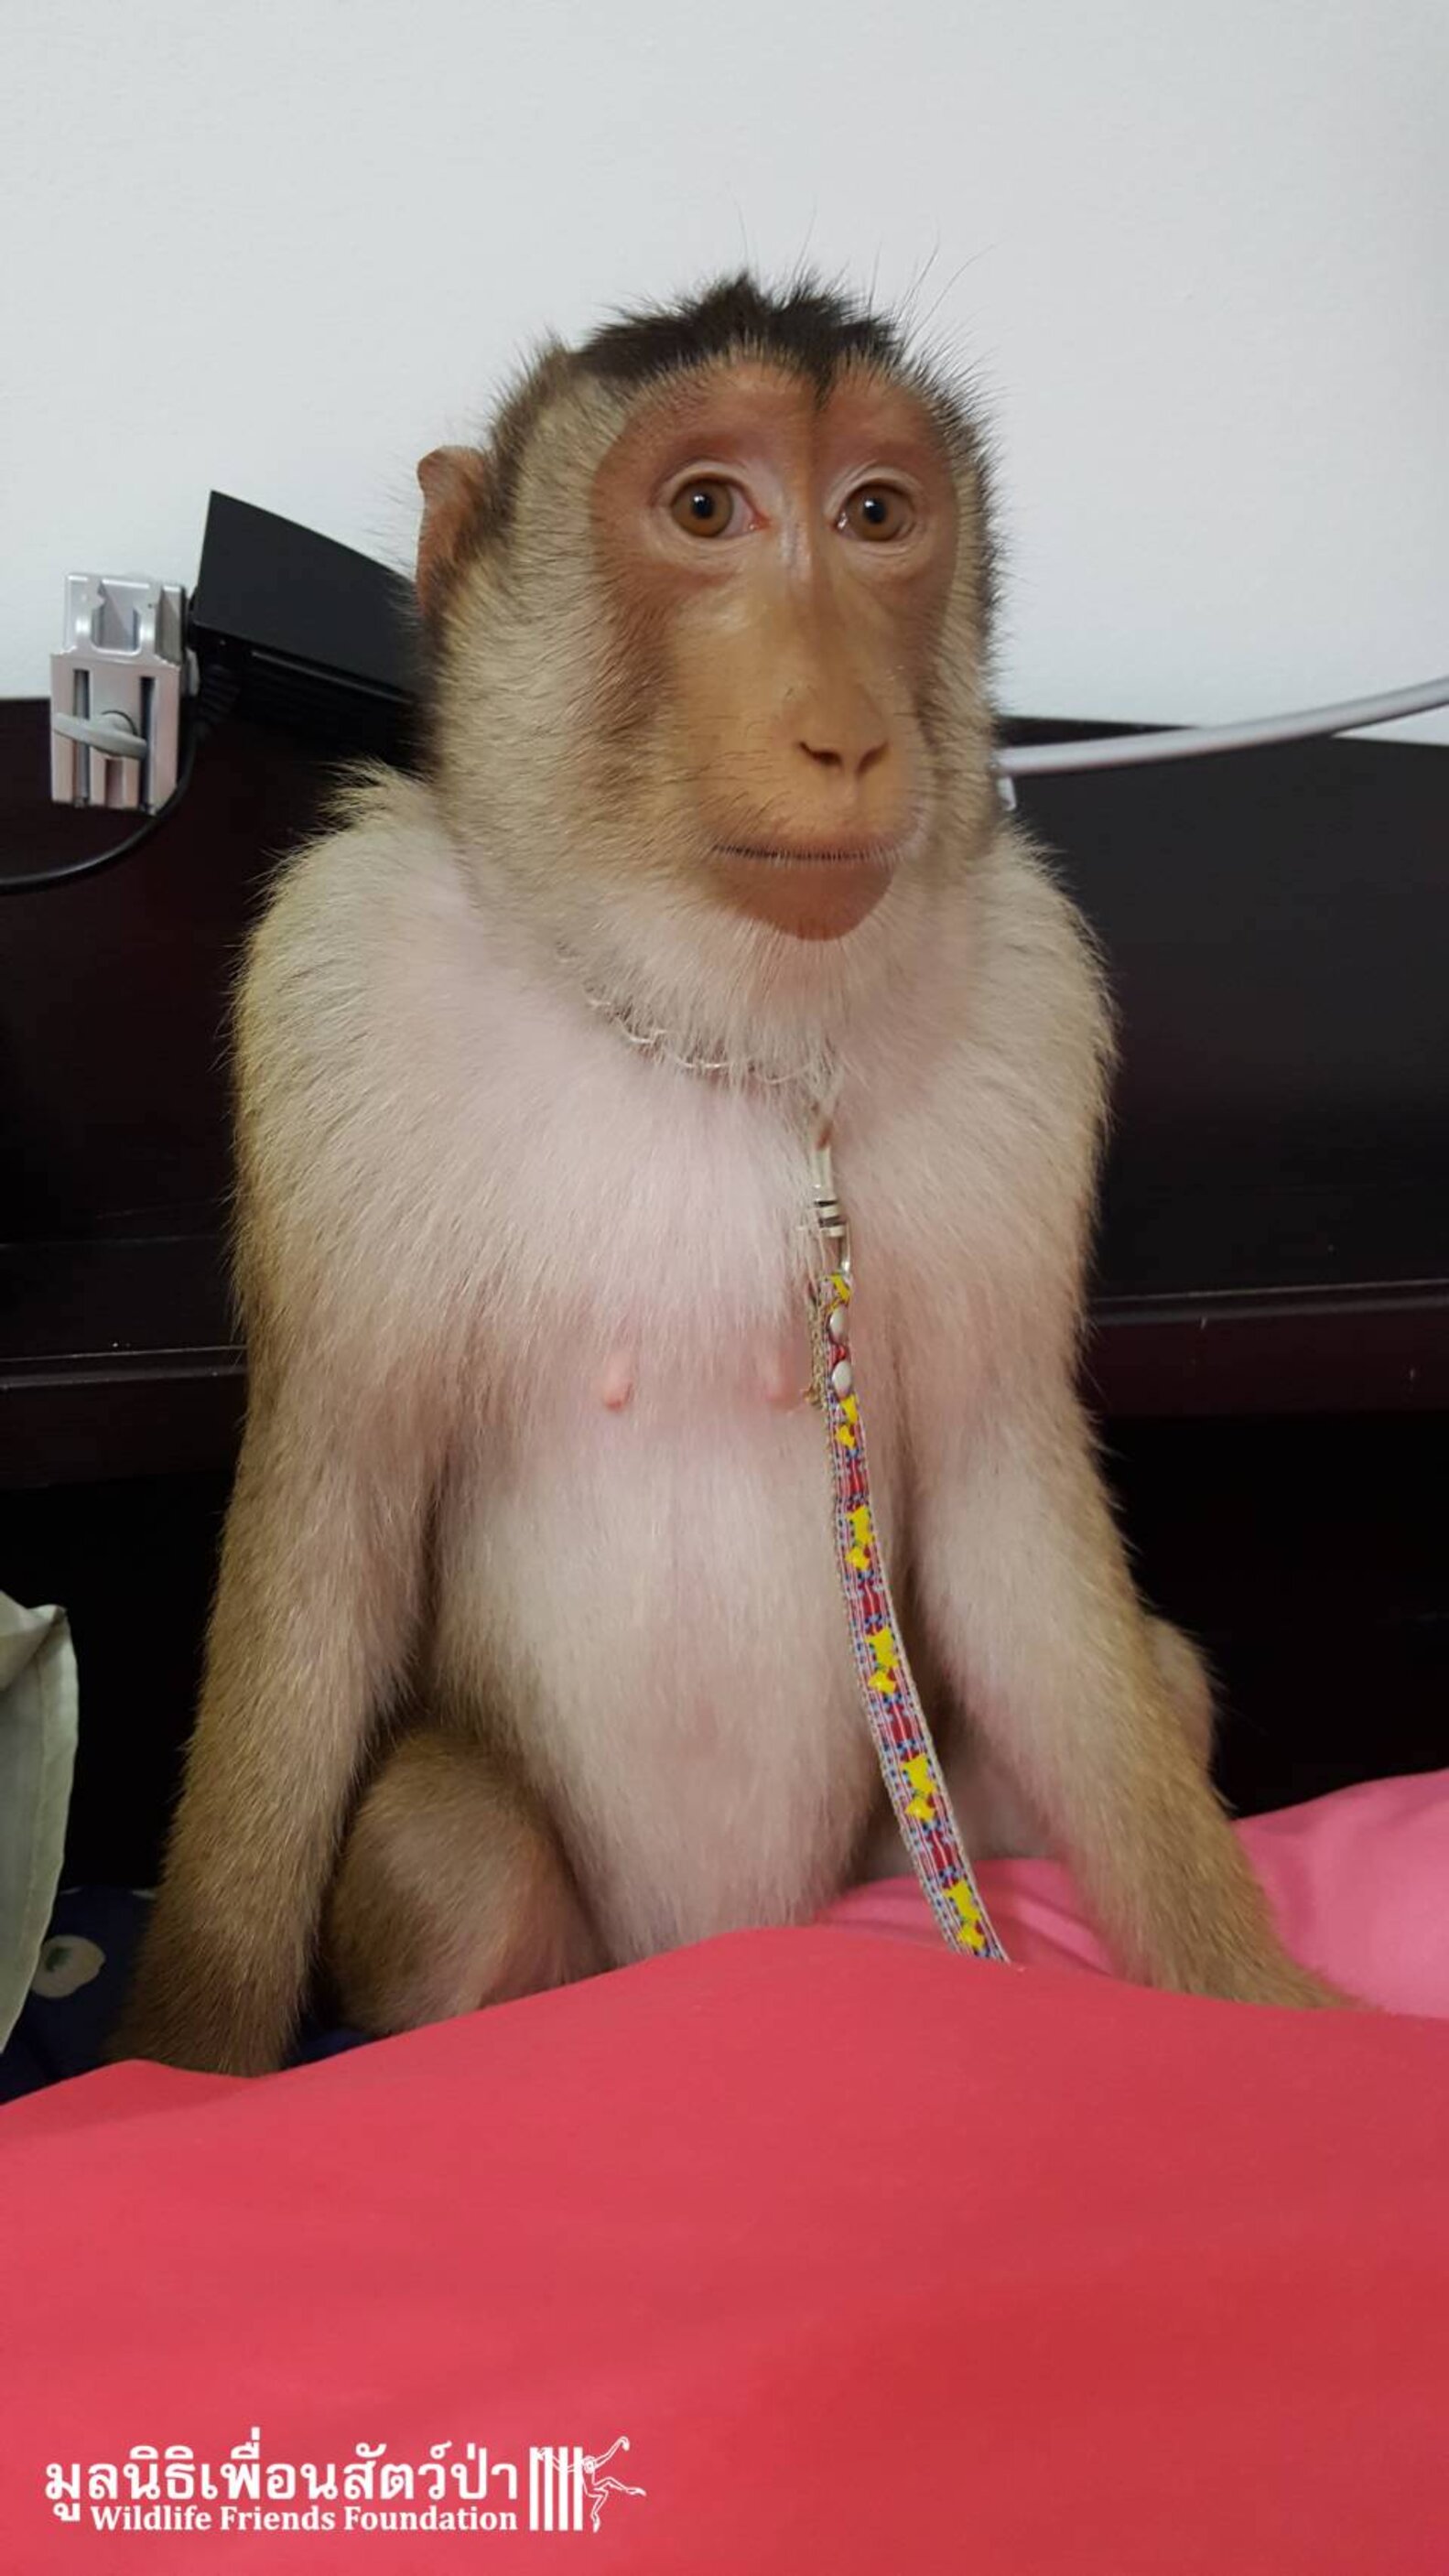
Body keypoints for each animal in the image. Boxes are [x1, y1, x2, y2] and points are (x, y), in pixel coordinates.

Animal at [114, 274, 1347, 2077]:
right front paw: (166, 2074)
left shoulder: (1035, 1002)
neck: (712, 1036)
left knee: (1158, 1680)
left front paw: (1274, 2010)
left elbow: (1007, 1520)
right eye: (707, 510)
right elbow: (325, 1528)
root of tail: (714, 1934)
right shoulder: (328, 989)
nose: (843, 733)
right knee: (444, 1838)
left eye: (876, 517)